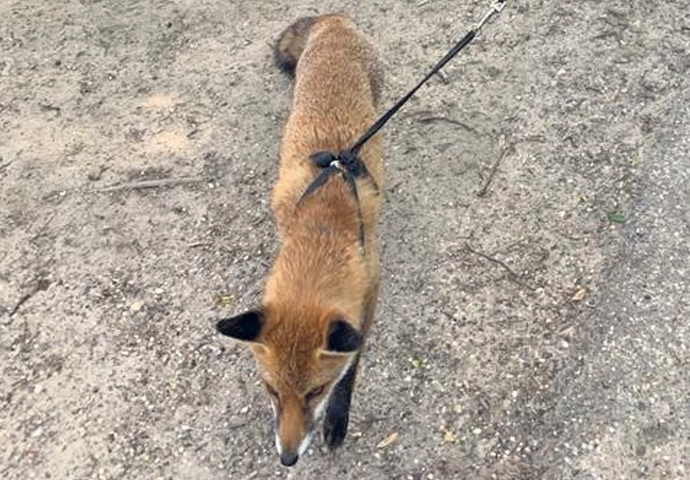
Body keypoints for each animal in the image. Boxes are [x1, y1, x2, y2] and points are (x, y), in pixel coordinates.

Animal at [215, 14, 384, 467]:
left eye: (315, 392)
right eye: (272, 390)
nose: (288, 458)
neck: (320, 225)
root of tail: (333, 19)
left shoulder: (370, 288)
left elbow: (352, 364)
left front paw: (338, 419)